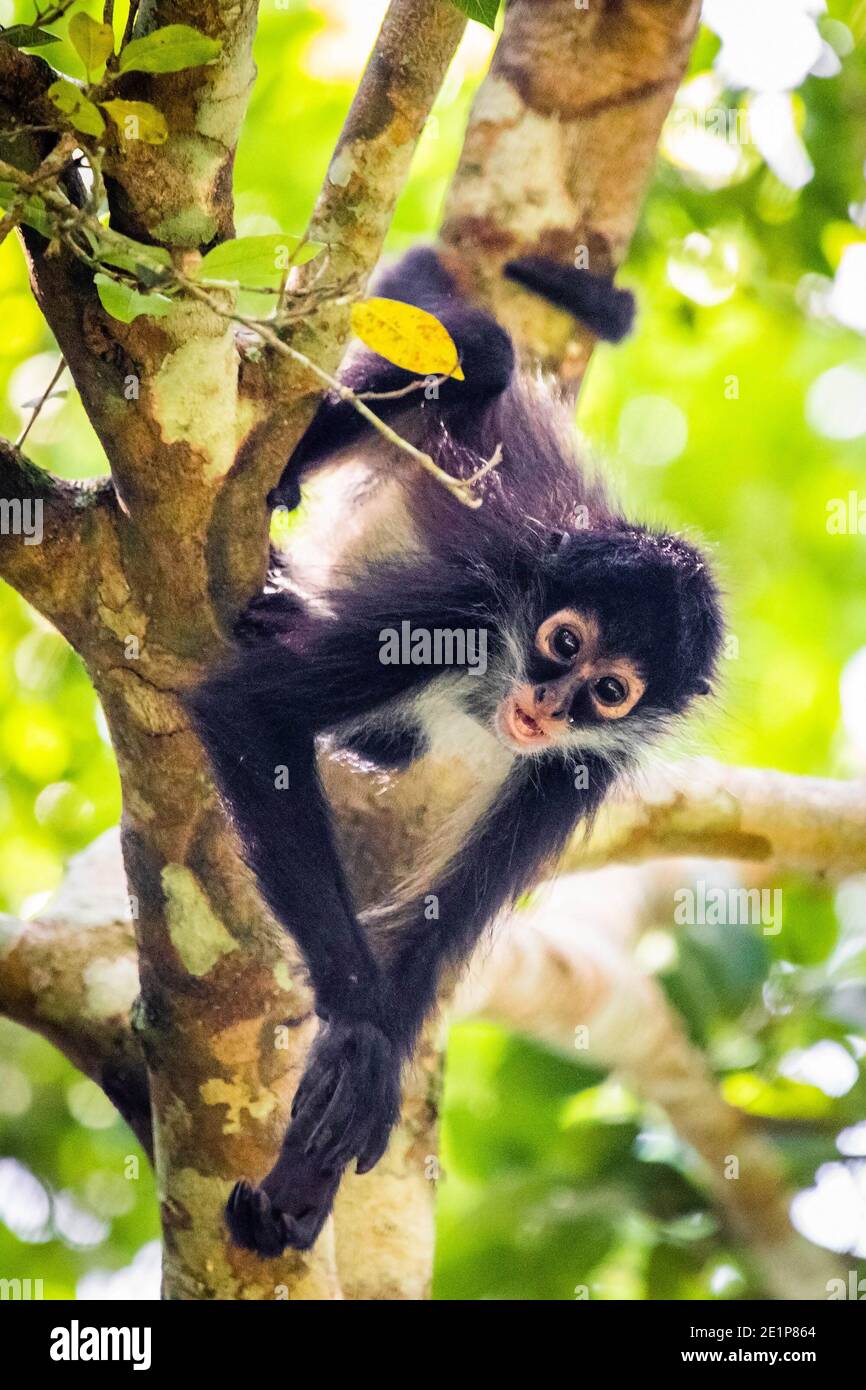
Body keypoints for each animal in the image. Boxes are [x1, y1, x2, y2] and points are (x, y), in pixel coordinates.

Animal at [187, 248, 723, 1258]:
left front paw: (313, 1170)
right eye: (563, 642)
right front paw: (357, 1031)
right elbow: (247, 715)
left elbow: (434, 934)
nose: (548, 707)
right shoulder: (458, 610)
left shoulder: (585, 767)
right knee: (483, 349)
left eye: (608, 693)